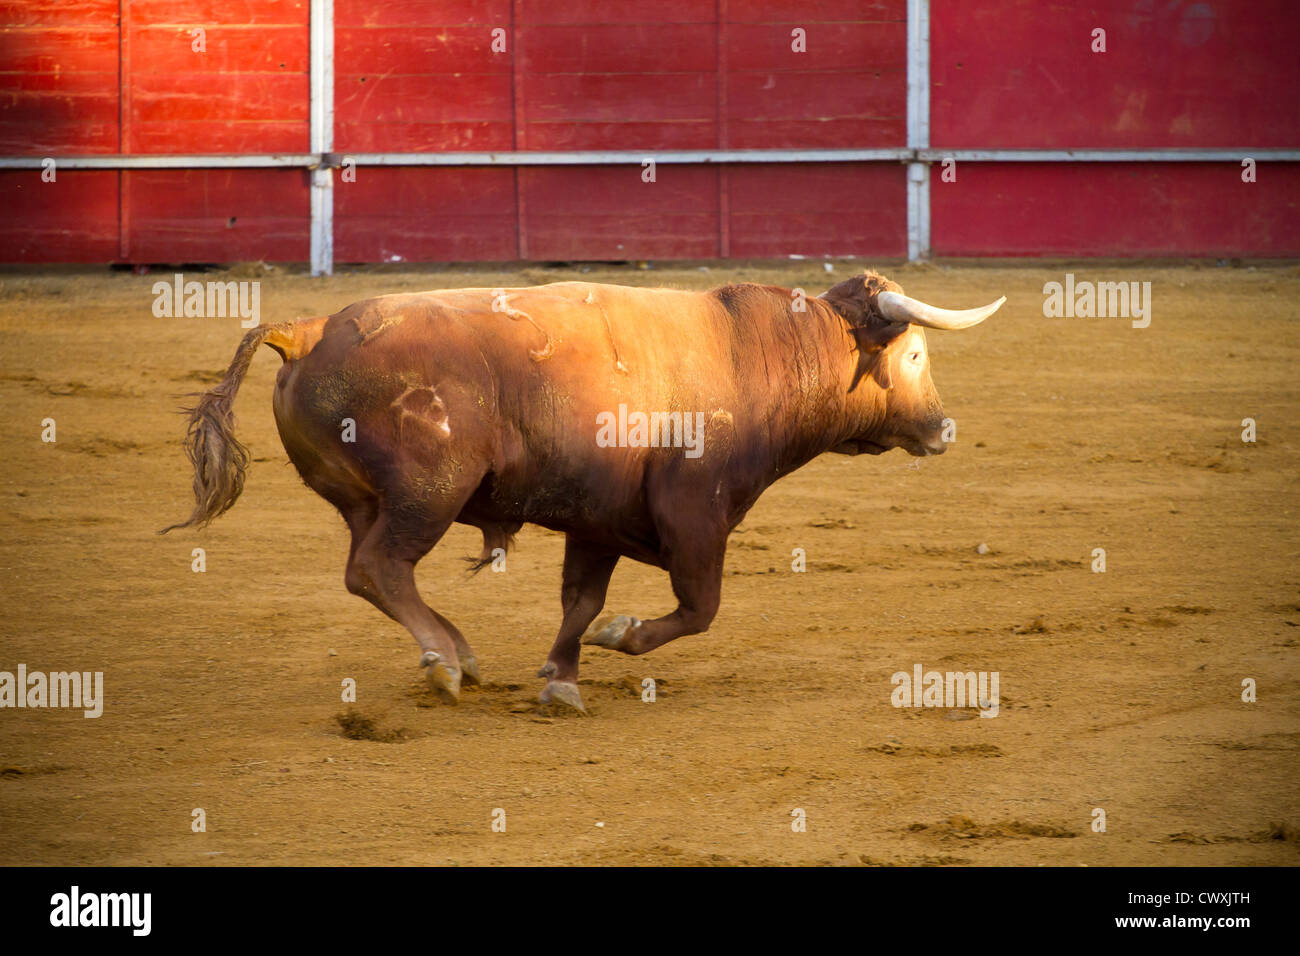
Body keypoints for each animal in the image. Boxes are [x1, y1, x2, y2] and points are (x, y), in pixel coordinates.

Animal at [165, 270, 1003, 713]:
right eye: (917, 355)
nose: (943, 430)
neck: (754, 354)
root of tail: (306, 330)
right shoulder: (696, 516)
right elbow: (698, 608)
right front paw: (619, 640)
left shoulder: (596, 521)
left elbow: (580, 600)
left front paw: (561, 680)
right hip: (428, 493)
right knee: (381, 568)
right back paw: (445, 661)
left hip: (368, 501)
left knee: (366, 571)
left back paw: (460, 652)